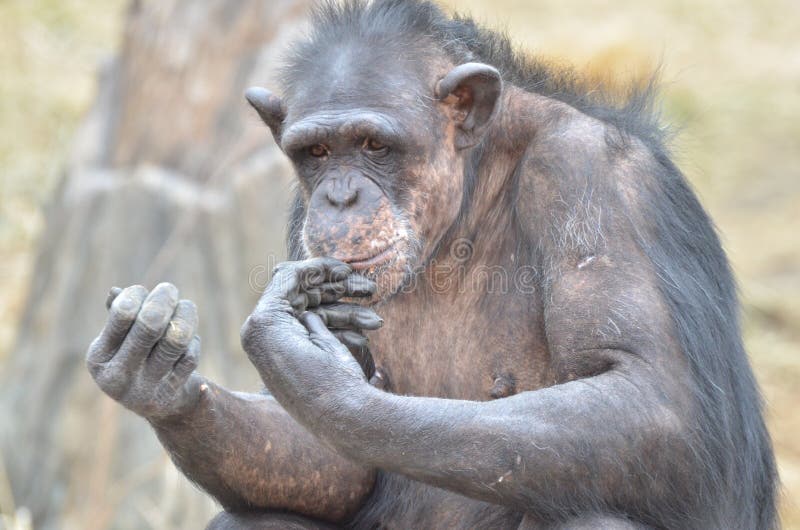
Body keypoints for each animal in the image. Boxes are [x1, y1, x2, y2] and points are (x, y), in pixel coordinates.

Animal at [86, 1, 777, 528]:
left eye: (372, 144)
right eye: (315, 152)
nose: (340, 196)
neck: (470, 187)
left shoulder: (593, 176)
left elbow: (653, 400)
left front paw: (325, 383)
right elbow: (331, 467)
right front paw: (156, 368)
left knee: (598, 512)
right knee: (253, 517)